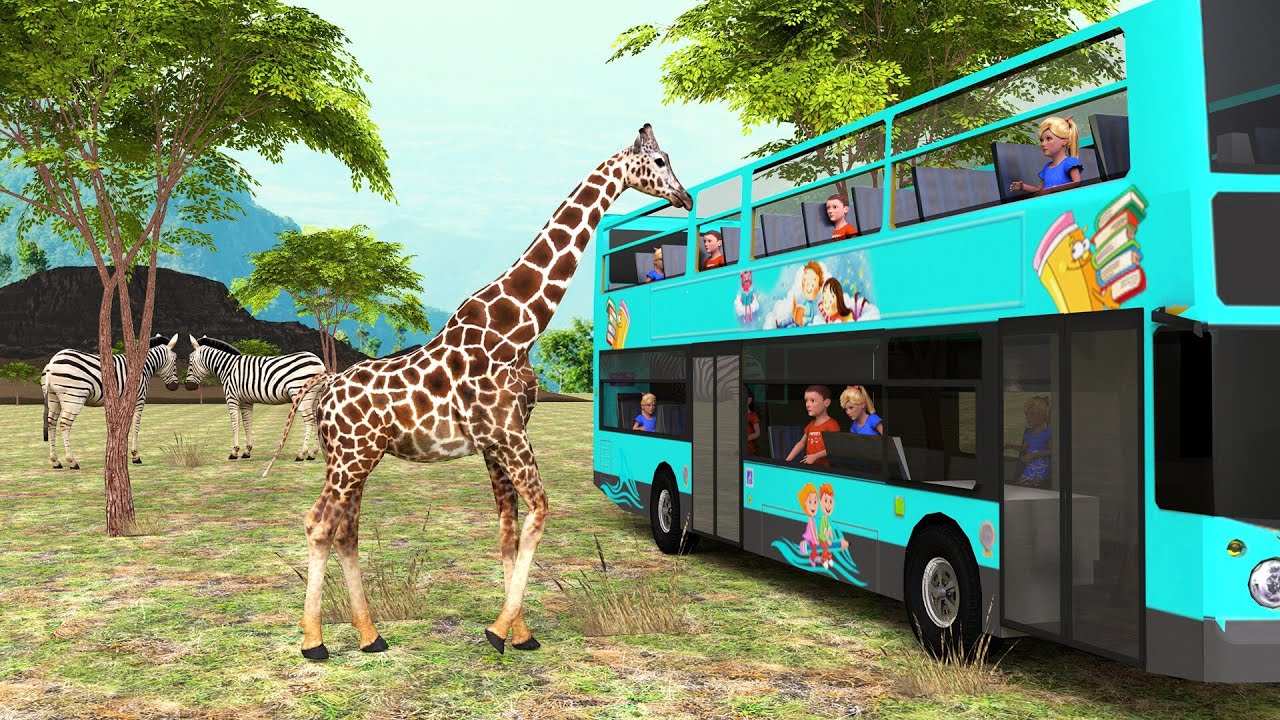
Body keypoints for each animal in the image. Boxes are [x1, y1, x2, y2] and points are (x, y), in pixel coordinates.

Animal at [289, 124, 692, 660]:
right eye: (662, 160)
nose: (686, 197)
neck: (521, 326)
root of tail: (327, 391)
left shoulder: (497, 440)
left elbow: (507, 529)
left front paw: (521, 633)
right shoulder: (507, 435)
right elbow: (539, 512)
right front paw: (500, 631)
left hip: (355, 456)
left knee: (345, 530)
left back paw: (371, 636)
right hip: (351, 457)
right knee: (319, 524)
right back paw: (314, 642)